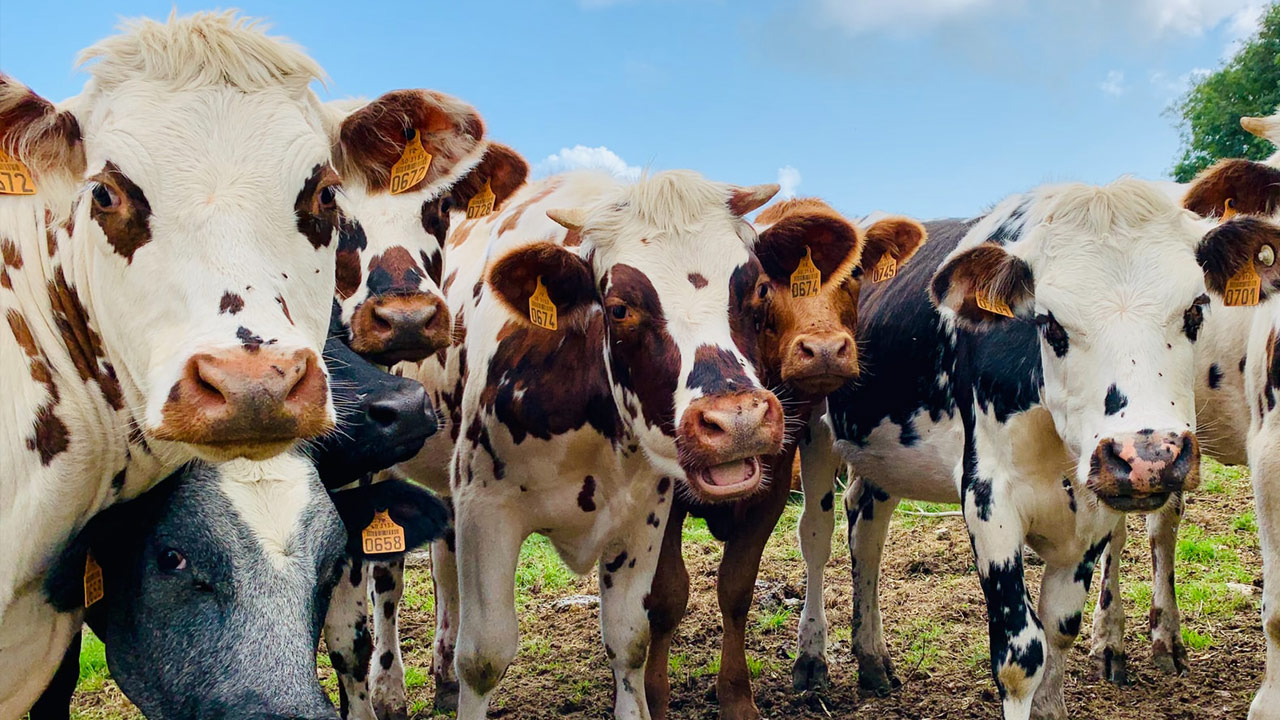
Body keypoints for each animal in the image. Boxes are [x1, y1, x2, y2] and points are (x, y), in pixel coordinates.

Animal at [447, 169, 787, 718]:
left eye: (758, 290)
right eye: (620, 308)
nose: (737, 421)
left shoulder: (644, 516)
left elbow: (630, 640)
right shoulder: (482, 510)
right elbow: (483, 658)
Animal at [641, 198, 928, 720]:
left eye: (856, 272)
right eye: (762, 285)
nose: (825, 351)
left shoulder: (774, 484)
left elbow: (737, 588)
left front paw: (736, 696)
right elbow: (668, 594)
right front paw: (653, 696)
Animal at [785, 178, 1228, 720]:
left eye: (1195, 309)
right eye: (1050, 323)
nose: (1146, 457)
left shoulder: (1093, 513)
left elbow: (1059, 629)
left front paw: (1052, 706)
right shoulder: (987, 498)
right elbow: (1020, 655)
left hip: (881, 456)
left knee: (867, 530)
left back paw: (871, 658)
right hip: (812, 428)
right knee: (817, 535)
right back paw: (812, 658)